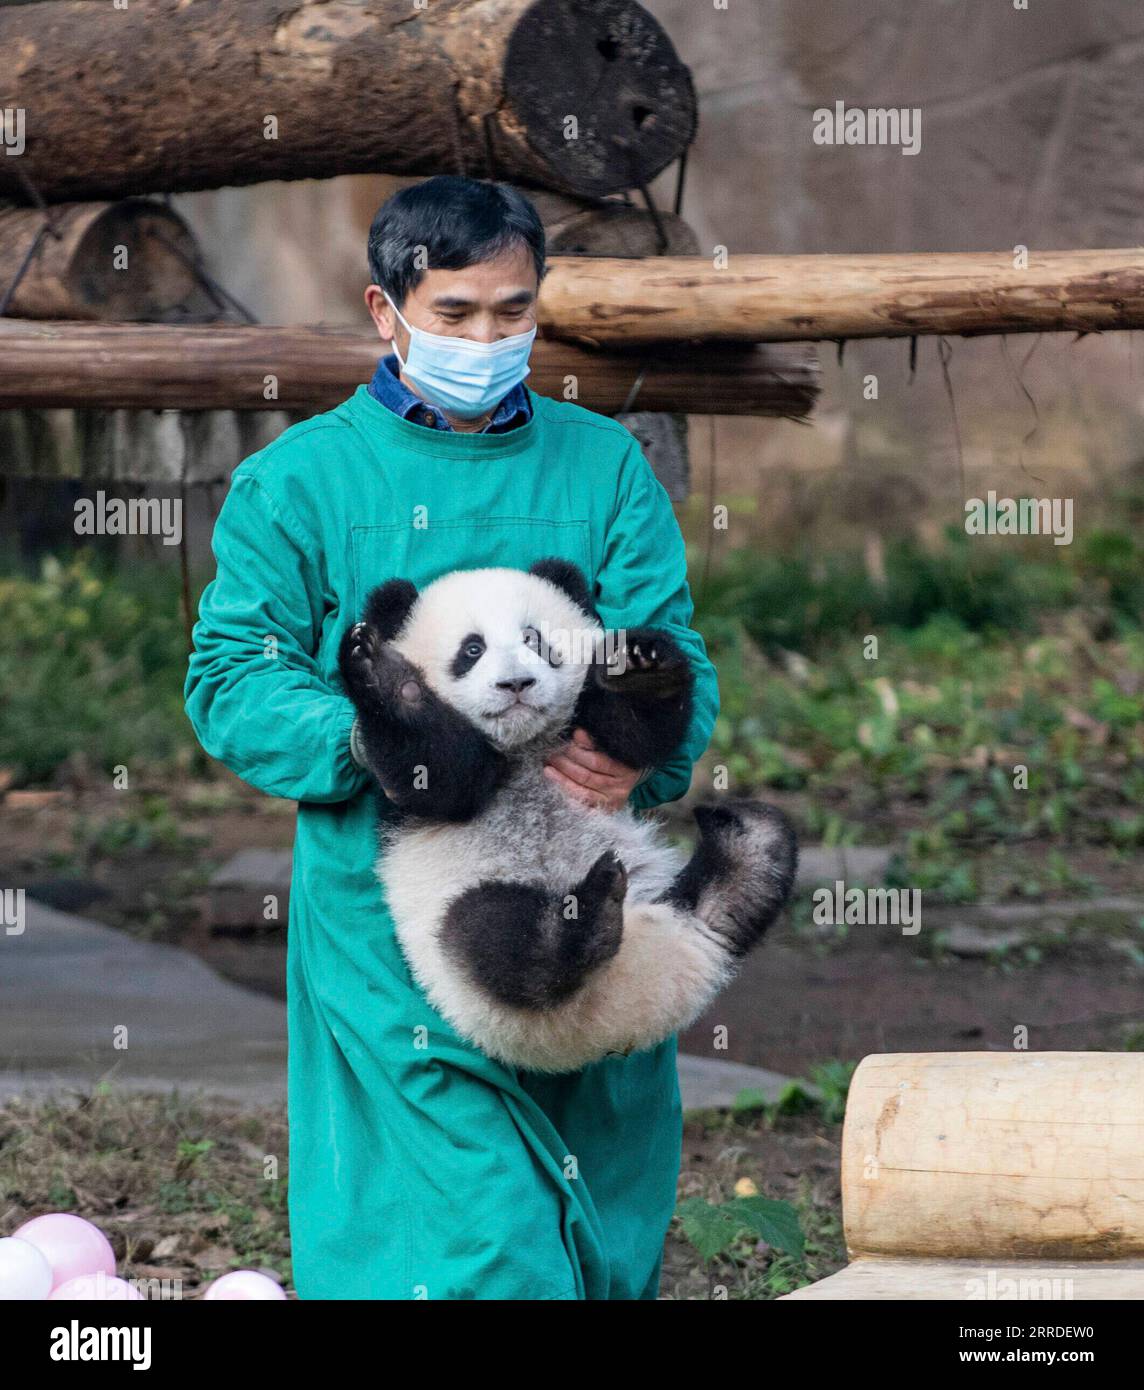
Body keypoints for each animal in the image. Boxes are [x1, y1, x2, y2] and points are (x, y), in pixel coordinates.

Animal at [338, 558, 798, 1074]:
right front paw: (381, 672)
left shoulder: (581, 726)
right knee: (498, 939)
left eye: (534, 640)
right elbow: (439, 773)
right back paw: (588, 912)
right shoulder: (411, 797)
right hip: (452, 919)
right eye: (472, 650)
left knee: (733, 885)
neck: (527, 744)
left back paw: (748, 846)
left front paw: (643, 669)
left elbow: (634, 734)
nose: (516, 685)